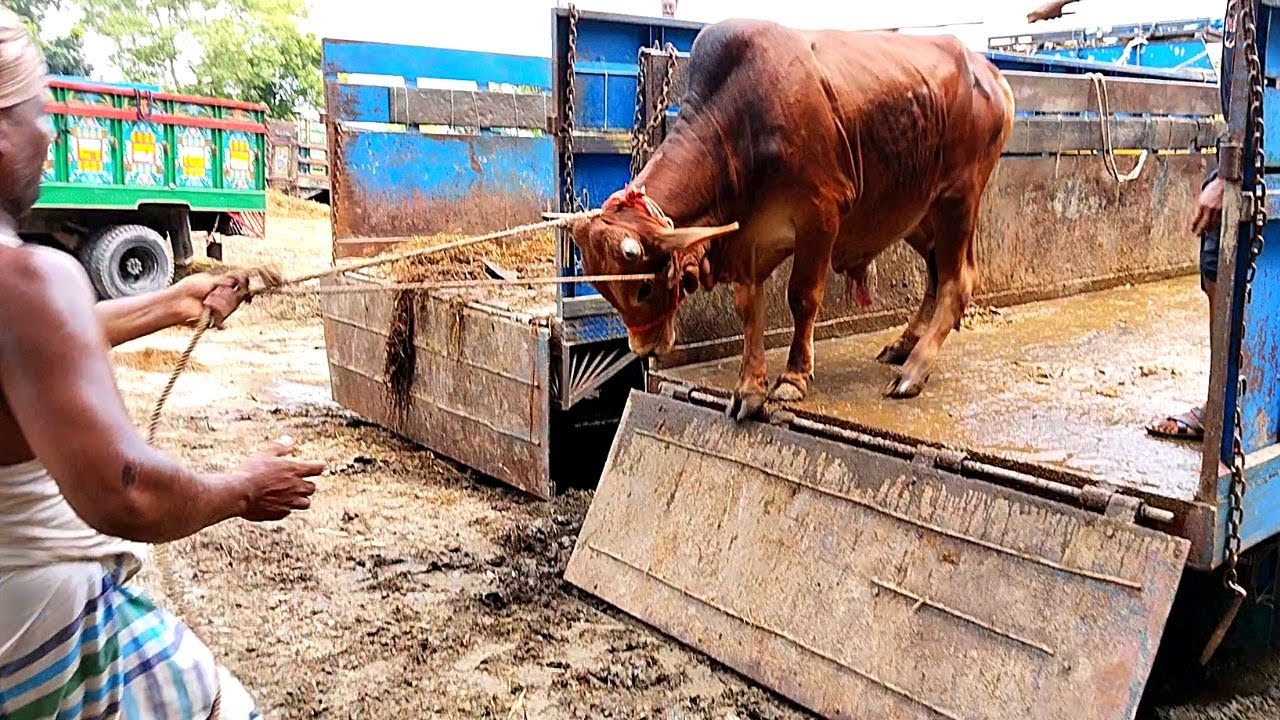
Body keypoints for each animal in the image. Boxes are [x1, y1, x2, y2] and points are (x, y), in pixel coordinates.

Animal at [569, 19, 1015, 421]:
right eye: (604, 290)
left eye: (643, 289)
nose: (643, 349)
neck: (739, 123)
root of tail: (991, 74)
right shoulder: (748, 237)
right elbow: (749, 308)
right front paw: (749, 388)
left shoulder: (820, 214)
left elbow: (802, 297)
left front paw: (792, 378)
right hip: (917, 212)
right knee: (936, 273)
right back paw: (904, 345)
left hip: (957, 198)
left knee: (958, 281)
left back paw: (914, 371)